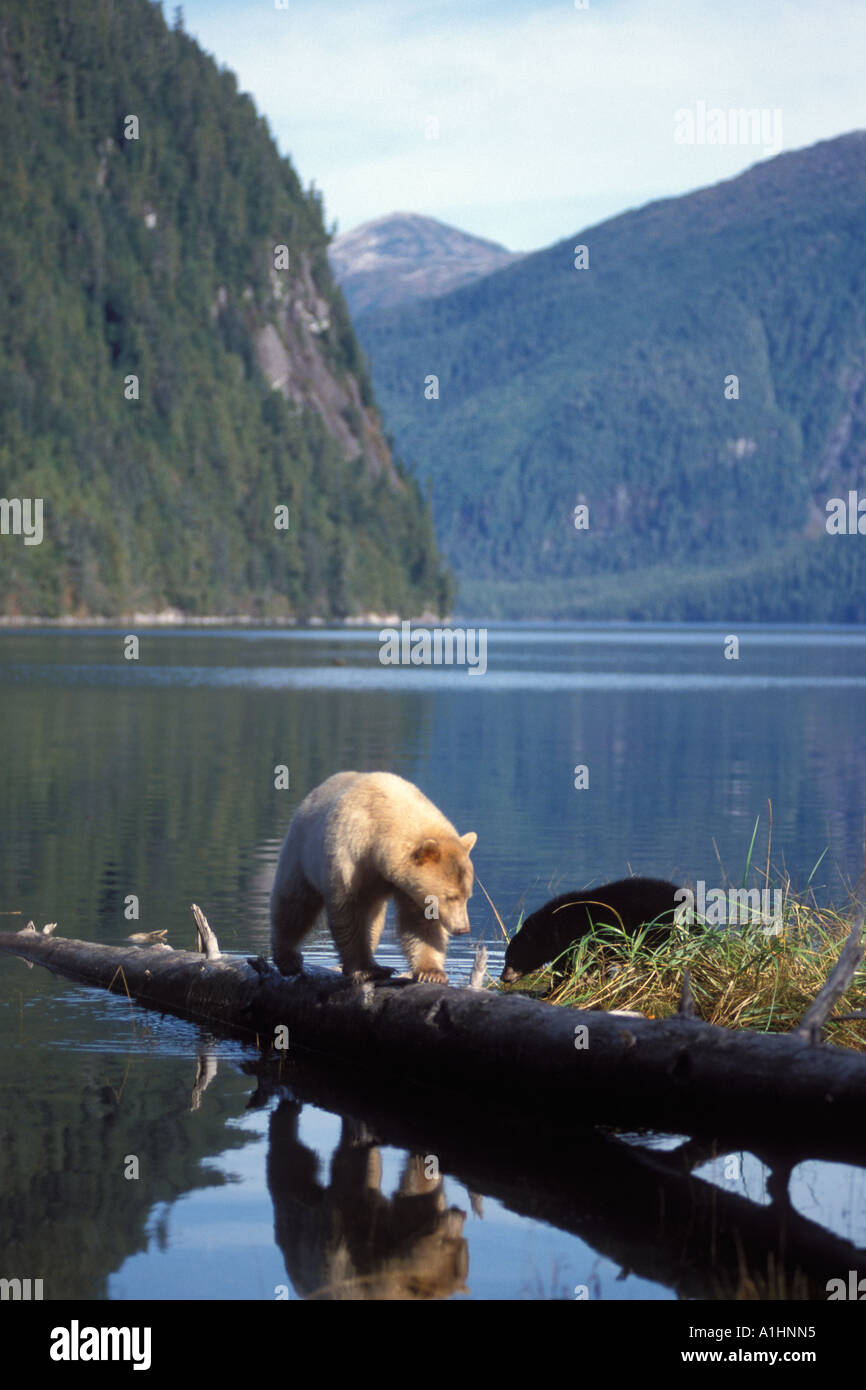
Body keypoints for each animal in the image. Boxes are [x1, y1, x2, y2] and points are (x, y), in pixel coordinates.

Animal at [270, 771, 477, 985]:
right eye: (451, 896)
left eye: (467, 896)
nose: (463, 928)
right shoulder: (350, 859)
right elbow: (349, 913)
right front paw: (366, 969)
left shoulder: (407, 885)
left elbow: (419, 920)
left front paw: (431, 973)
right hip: (301, 851)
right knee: (295, 903)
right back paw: (288, 959)